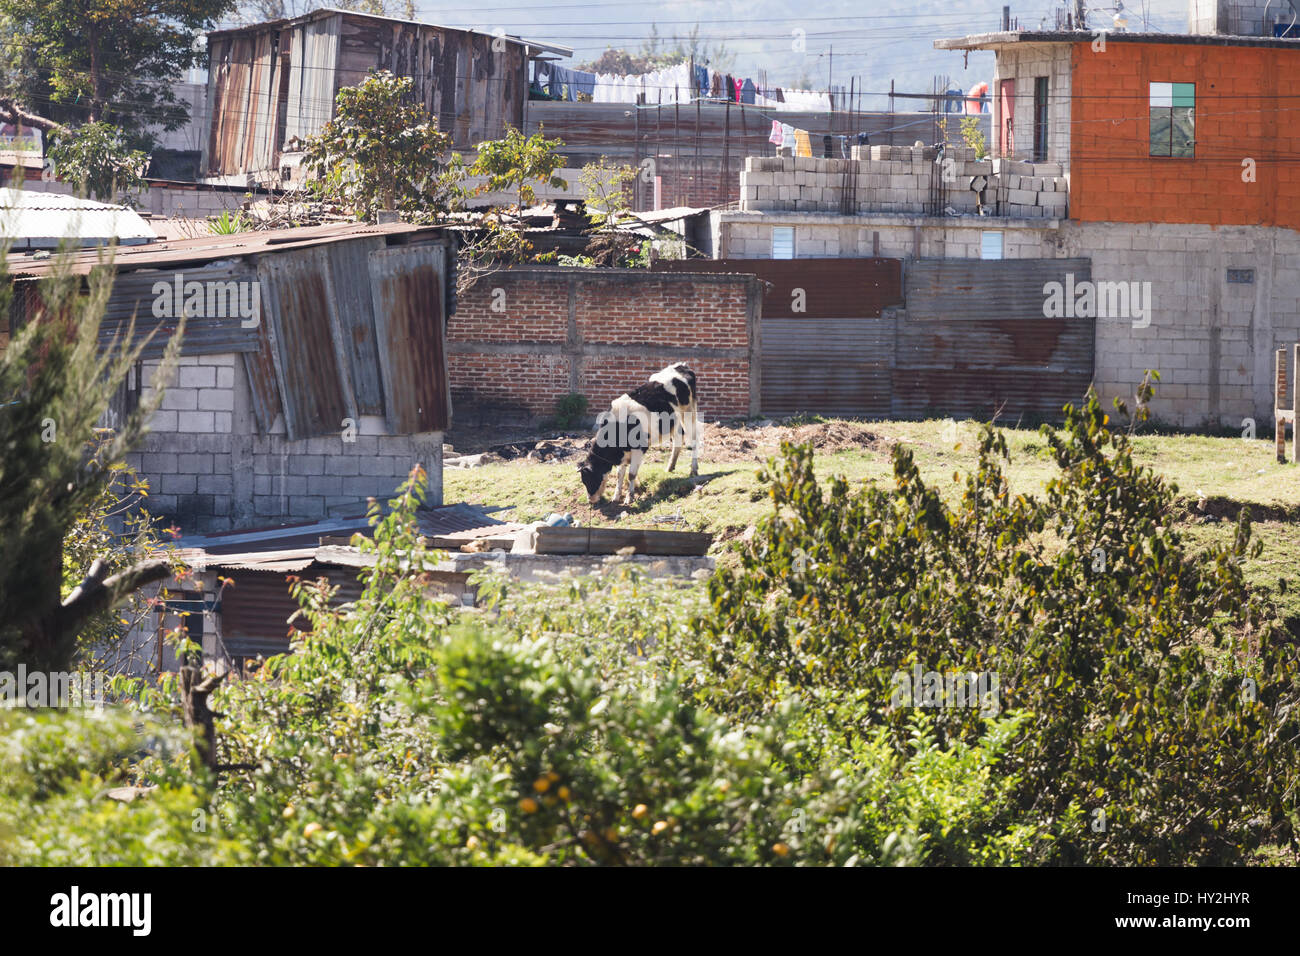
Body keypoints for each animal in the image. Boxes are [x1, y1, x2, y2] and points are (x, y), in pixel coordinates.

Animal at [578, 363, 699, 505]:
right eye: (584, 481)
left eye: (590, 479)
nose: (590, 500)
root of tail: (681, 366)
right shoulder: (623, 453)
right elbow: (620, 474)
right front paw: (616, 496)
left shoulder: (639, 448)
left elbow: (631, 474)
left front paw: (629, 498)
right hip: (674, 422)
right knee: (678, 441)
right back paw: (670, 467)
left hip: (689, 413)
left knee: (694, 440)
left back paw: (694, 470)